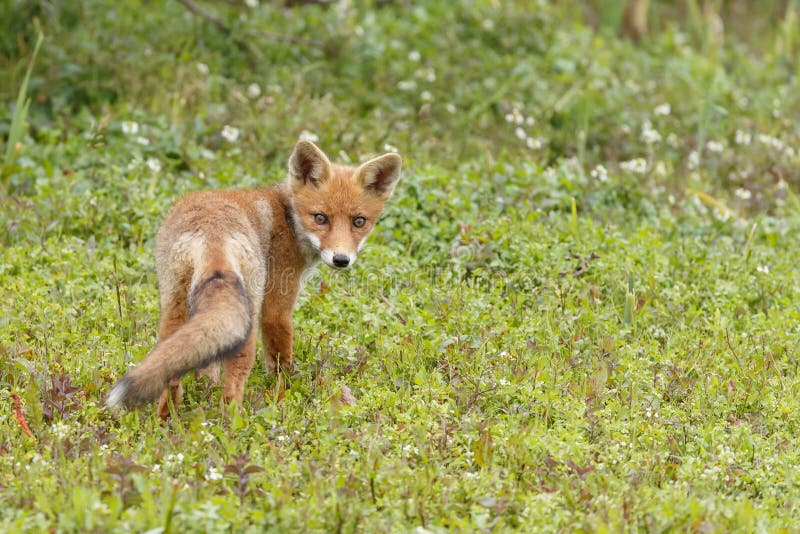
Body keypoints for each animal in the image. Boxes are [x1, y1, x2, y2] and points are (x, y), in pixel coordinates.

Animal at [106, 140, 402, 418]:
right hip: (245, 319)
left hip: (175, 309)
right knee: (233, 384)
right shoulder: (276, 307)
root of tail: (212, 231)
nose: (341, 259)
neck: (289, 218)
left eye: (359, 221)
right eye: (320, 218)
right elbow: (281, 364)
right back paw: (232, 424)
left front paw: (206, 385)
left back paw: (167, 420)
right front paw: (284, 394)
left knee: (171, 369)